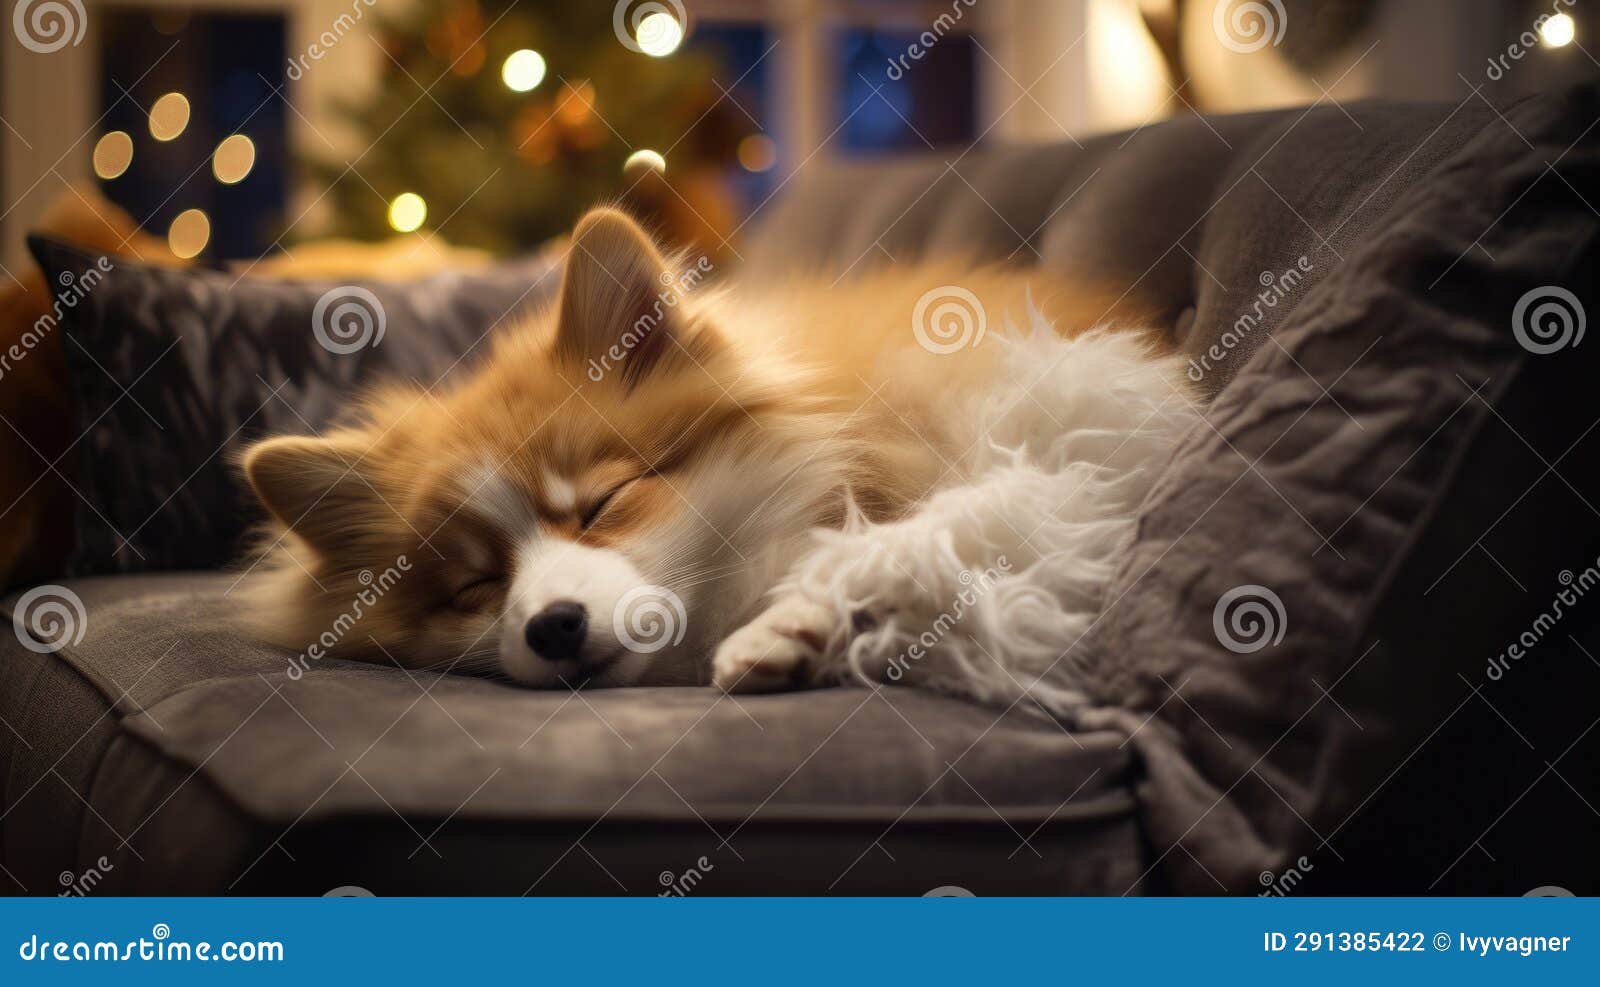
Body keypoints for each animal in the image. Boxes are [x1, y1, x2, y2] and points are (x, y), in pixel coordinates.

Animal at [239, 206, 1199, 710]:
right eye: (473, 585)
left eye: (602, 505)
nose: (552, 625)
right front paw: (804, 633)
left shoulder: (1076, 442)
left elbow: (935, 531)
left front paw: (800, 616)